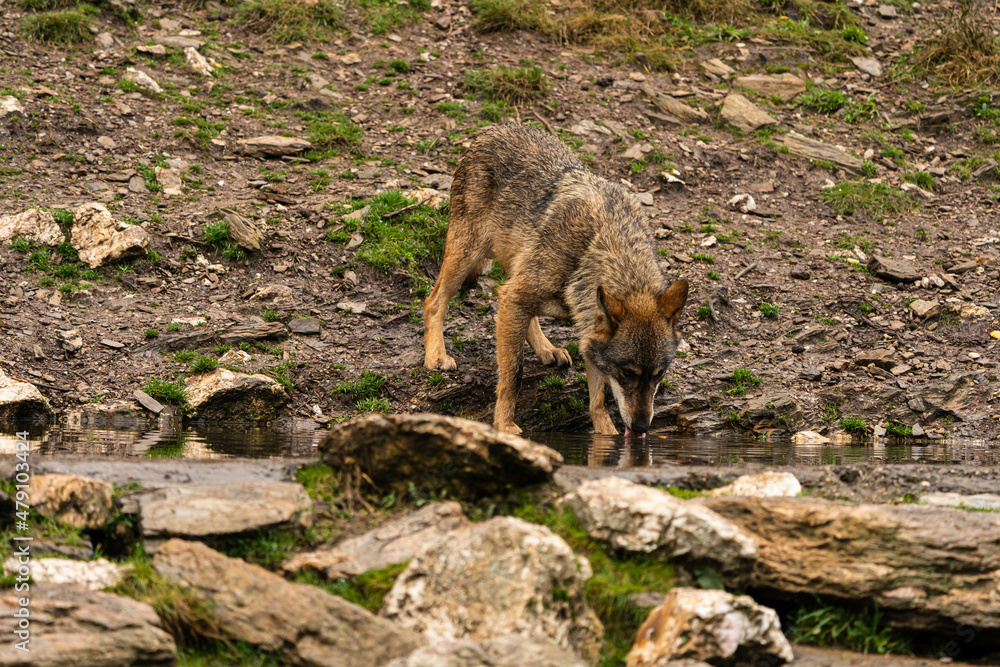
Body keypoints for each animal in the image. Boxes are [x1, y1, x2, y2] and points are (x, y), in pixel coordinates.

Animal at [423, 123, 689, 437]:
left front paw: (606, 432)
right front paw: (504, 426)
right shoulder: (517, 298)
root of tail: (496, 128)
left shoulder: (587, 327)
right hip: (467, 255)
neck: (598, 248)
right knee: (434, 301)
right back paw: (436, 356)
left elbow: (598, 397)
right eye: (628, 373)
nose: (640, 428)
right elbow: (513, 375)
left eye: (659, 375)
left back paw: (547, 350)